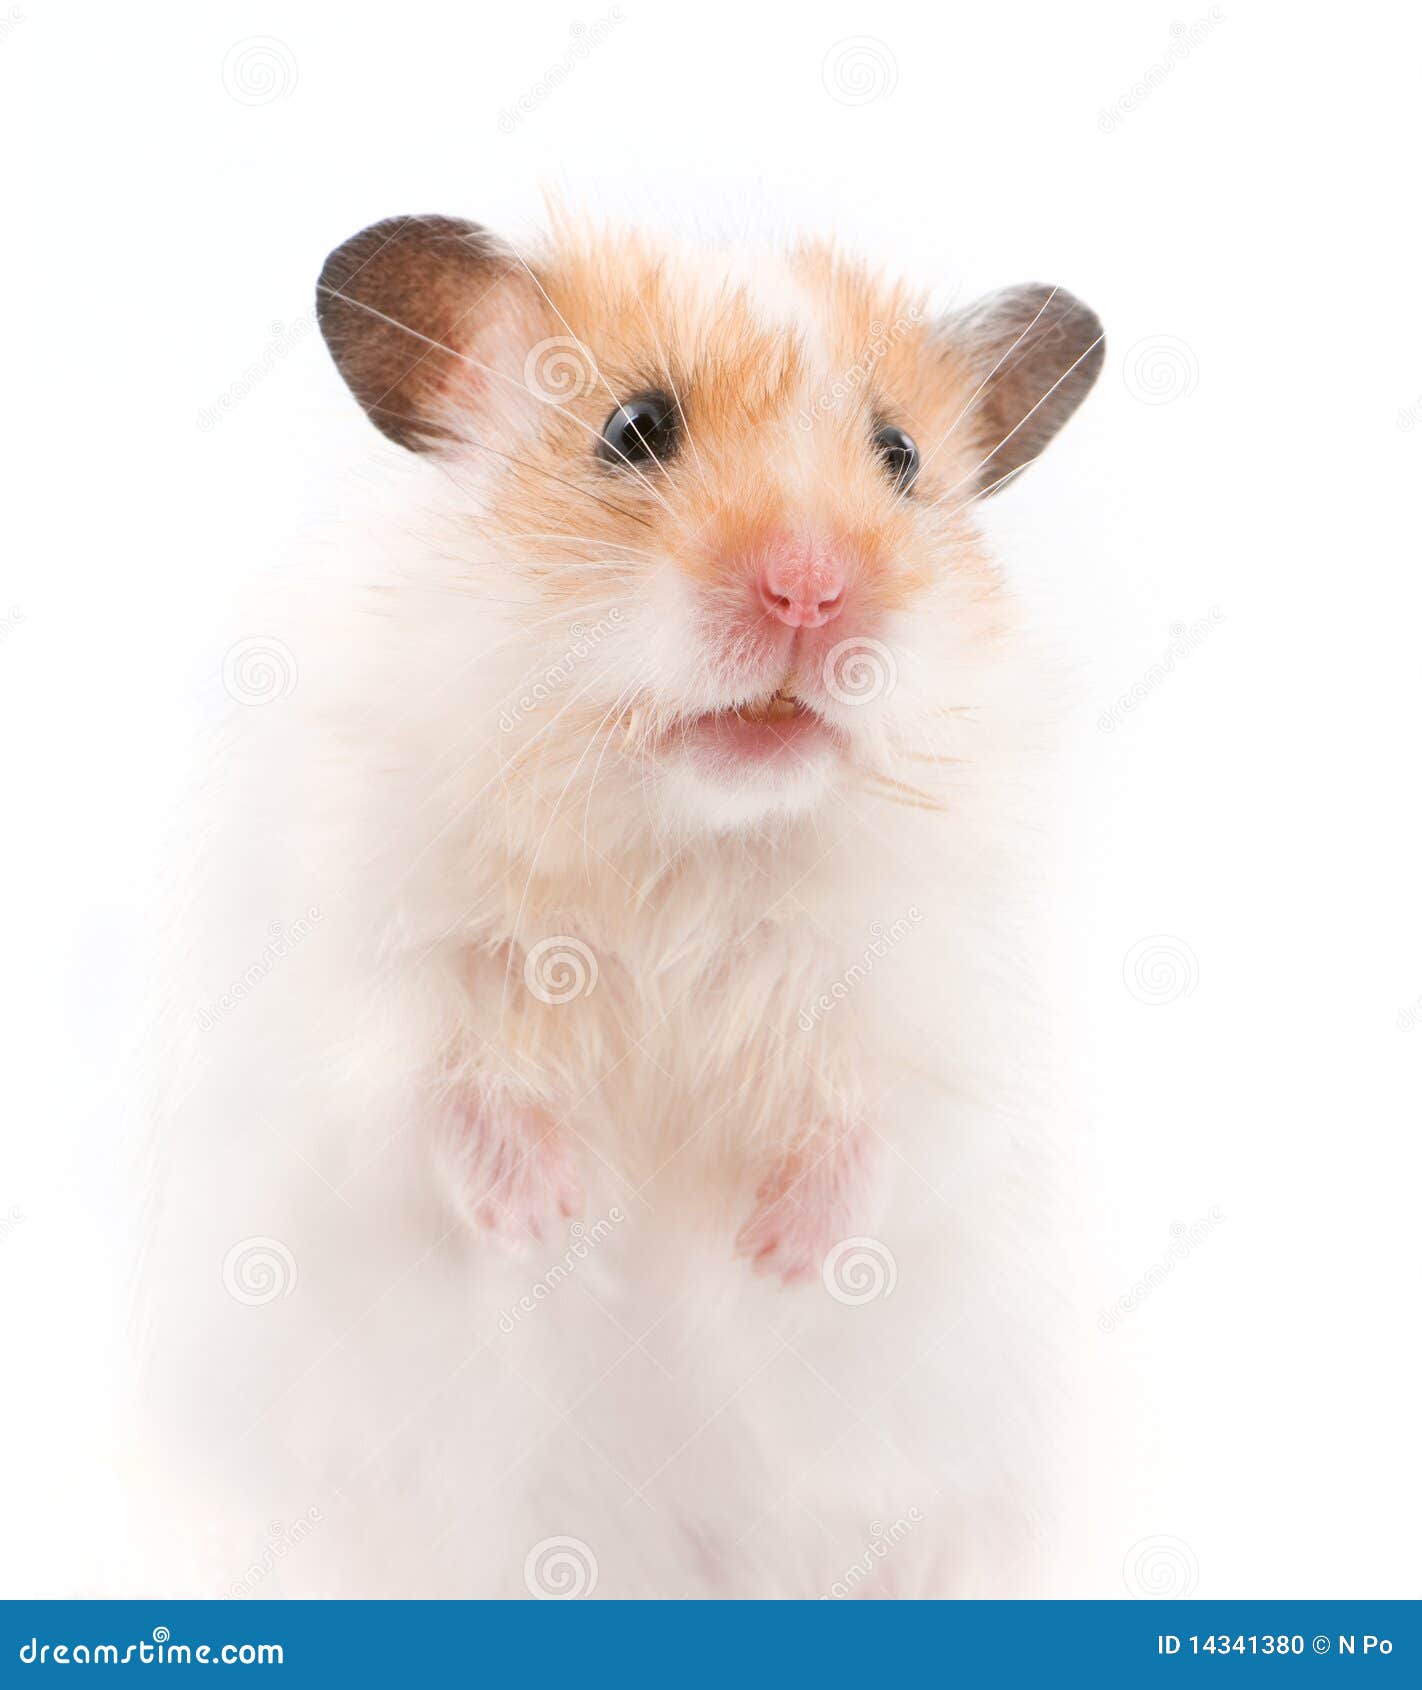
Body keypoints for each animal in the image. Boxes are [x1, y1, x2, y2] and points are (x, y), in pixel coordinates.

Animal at [133, 211, 1103, 1600]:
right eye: (635, 429)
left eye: (901, 456)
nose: (812, 592)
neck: (684, 835)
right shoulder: (365, 972)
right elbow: (442, 1086)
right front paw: (561, 1216)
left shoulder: (930, 1010)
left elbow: (875, 1126)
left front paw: (776, 1255)